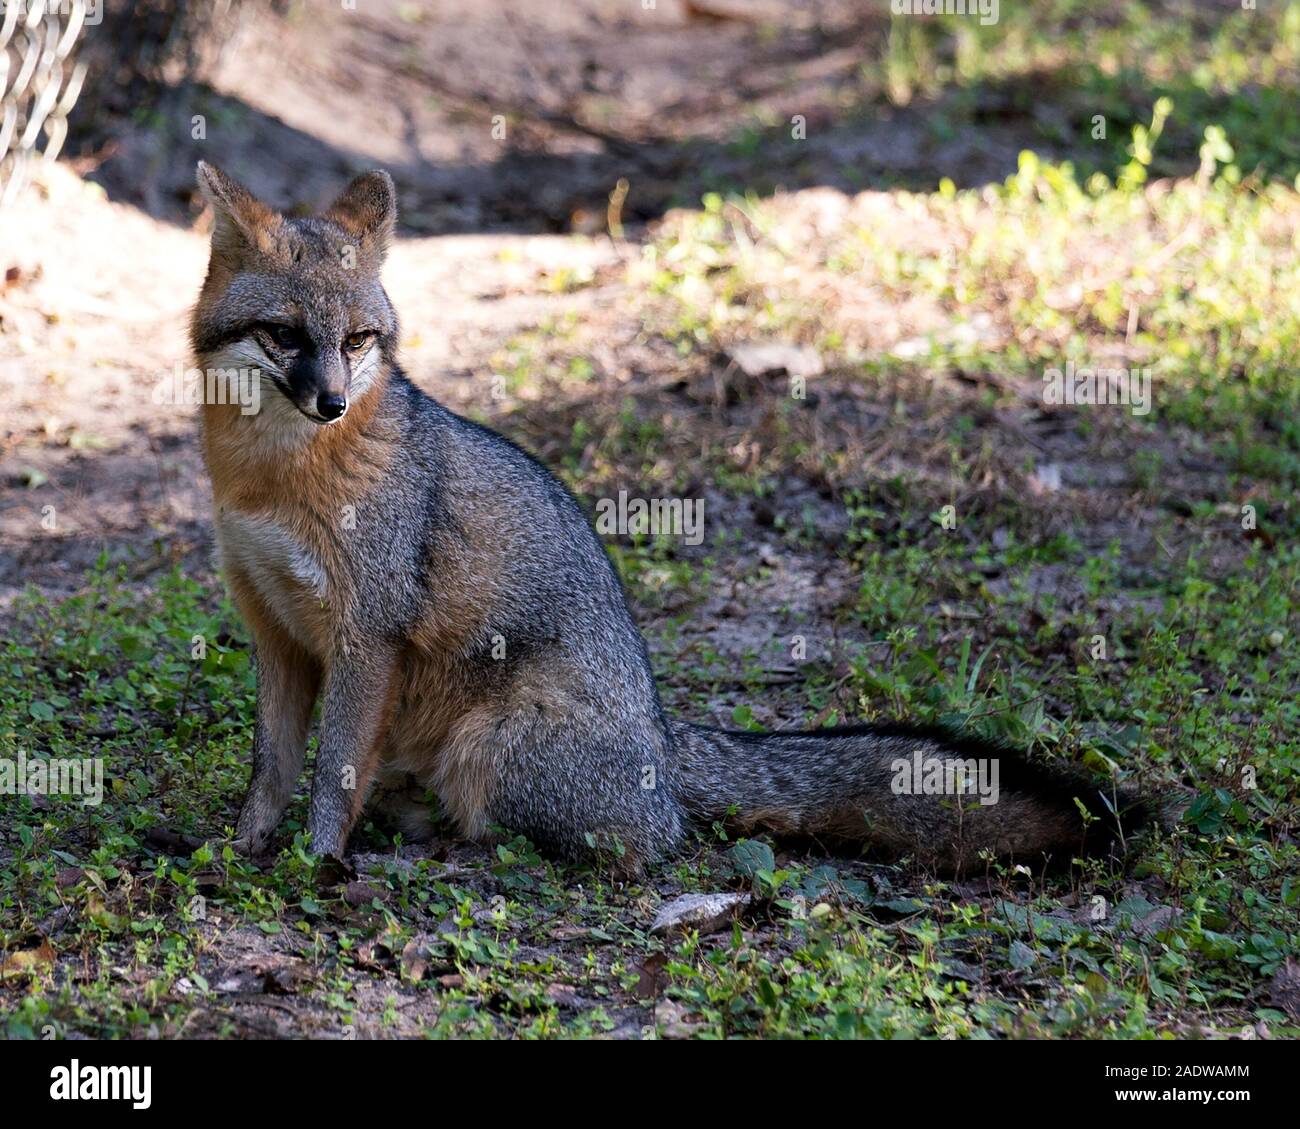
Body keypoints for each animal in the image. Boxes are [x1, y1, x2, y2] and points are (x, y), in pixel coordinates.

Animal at [191, 161, 1148, 876]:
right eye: (285, 334)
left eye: (356, 340)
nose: (331, 402)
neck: (273, 479)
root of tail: (661, 733)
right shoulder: (275, 628)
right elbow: (272, 765)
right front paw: (242, 848)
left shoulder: (367, 634)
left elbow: (332, 773)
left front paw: (316, 861)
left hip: (490, 754)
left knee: (626, 844)